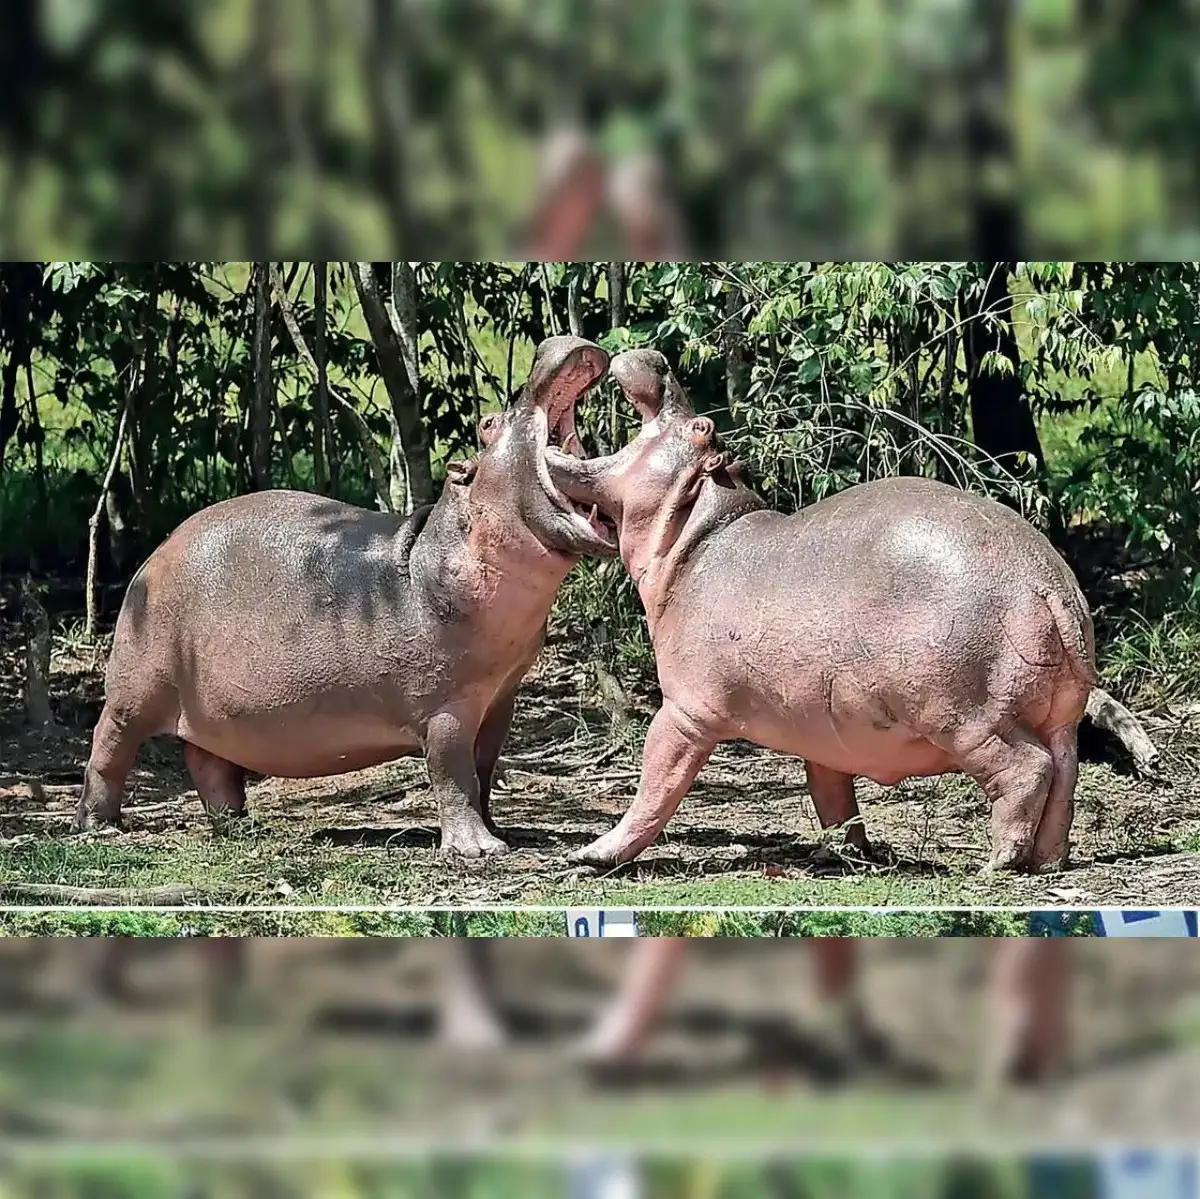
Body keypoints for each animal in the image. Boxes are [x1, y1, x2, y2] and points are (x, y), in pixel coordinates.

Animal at [74, 336, 617, 856]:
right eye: (488, 423)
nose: (549, 345)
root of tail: (156, 553)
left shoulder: (500, 700)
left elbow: (483, 773)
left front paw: (501, 831)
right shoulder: (445, 708)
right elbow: (454, 776)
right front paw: (479, 850)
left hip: (212, 709)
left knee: (209, 762)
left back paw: (242, 827)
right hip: (135, 689)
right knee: (108, 746)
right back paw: (98, 826)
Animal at [546, 349, 1097, 872]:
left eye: (699, 426)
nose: (657, 359)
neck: (698, 535)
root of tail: (1045, 583)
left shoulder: (685, 711)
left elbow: (655, 784)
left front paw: (589, 856)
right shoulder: (821, 732)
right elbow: (833, 796)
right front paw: (845, 855)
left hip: (964, 716)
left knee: (1026, 770)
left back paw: (998, 862)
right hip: (1058, 715)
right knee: (1064, 775)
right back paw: (1049, 860)